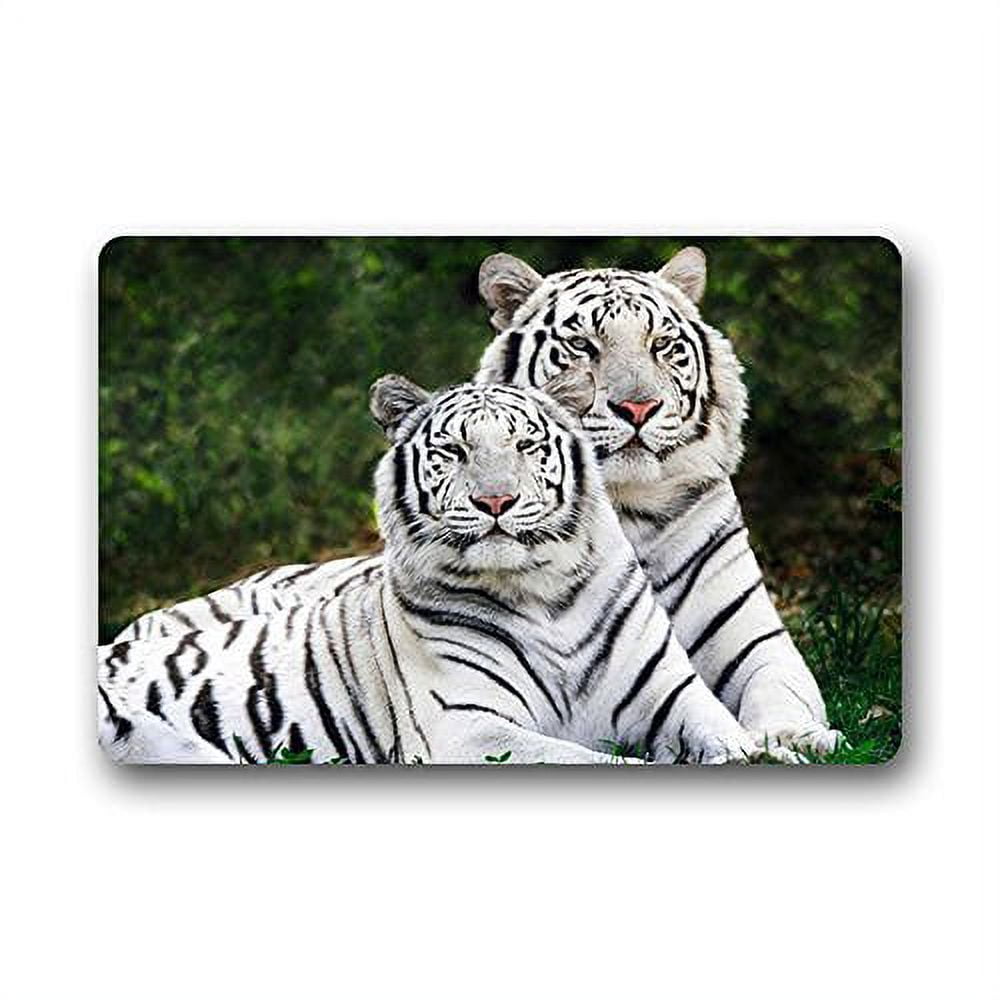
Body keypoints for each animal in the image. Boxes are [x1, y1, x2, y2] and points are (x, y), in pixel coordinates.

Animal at [99, 376, 796, 765]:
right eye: (453, 451)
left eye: (526, 445)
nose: (496, 501)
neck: (544, 594)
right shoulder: (470, 729)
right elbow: (595, 763)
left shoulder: (674, 697)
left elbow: (731, 739)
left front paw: (783, 748)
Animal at [475, 247, 841, 755]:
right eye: (583, 346)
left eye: (661, 345)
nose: (638, 408)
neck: (627, 507)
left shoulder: (757, 640)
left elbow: (779, 688)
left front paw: (796, 737)